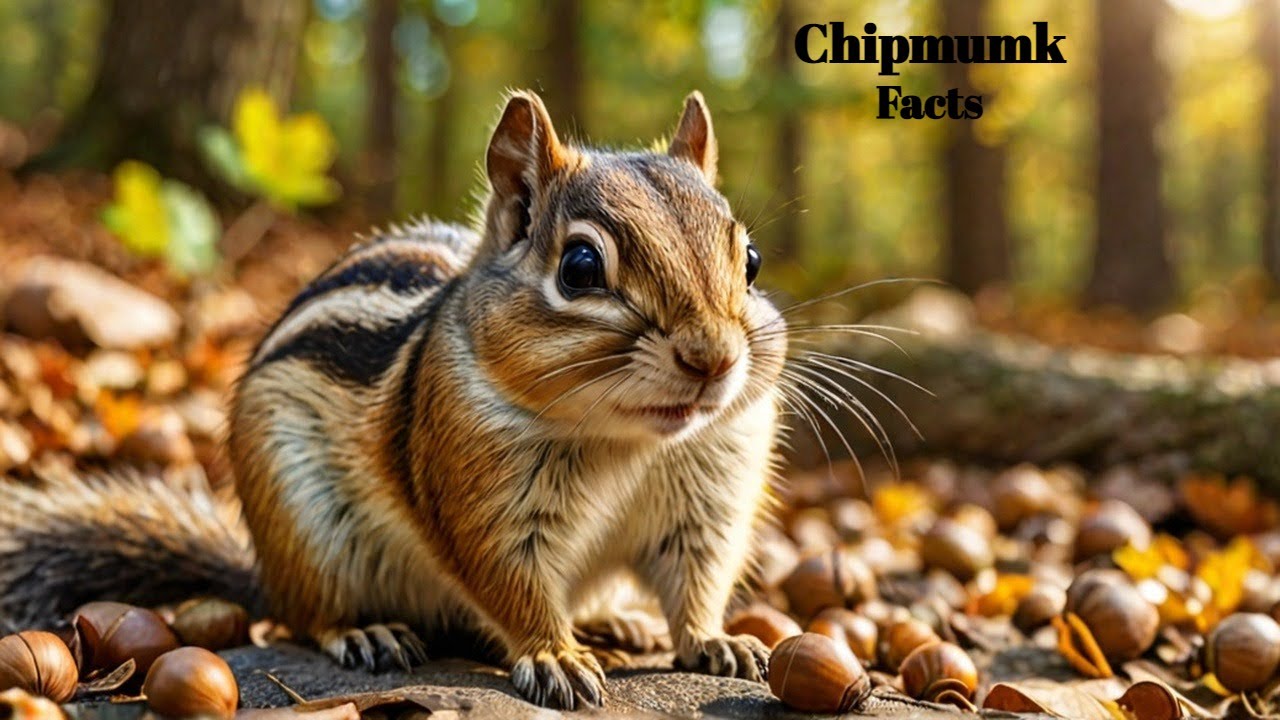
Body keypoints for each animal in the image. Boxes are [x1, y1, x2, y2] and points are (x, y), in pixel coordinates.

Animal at [0, 90, 788, 710]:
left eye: (750, 261)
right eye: (581, 266)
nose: (713, 359)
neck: (627, 442)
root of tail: (265, 574)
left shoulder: (707, 498)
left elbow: (697, 581)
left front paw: (717, 641)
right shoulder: (481, 498)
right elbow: (511, 582)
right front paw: (554, 655)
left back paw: (618, 623)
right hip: (305, 530)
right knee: (306, 615)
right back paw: (366, 630)